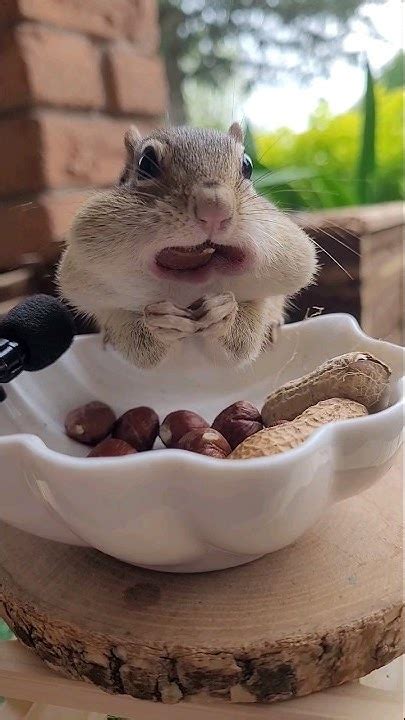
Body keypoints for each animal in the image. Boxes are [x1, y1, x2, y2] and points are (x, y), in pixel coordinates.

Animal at [57, 123, 317, 369]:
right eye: (146, 162)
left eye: (247, 166)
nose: (215, 206)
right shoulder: (98, 295)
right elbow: (138, 343)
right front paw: (161, 322)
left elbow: (244, 338)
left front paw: (223, 313)